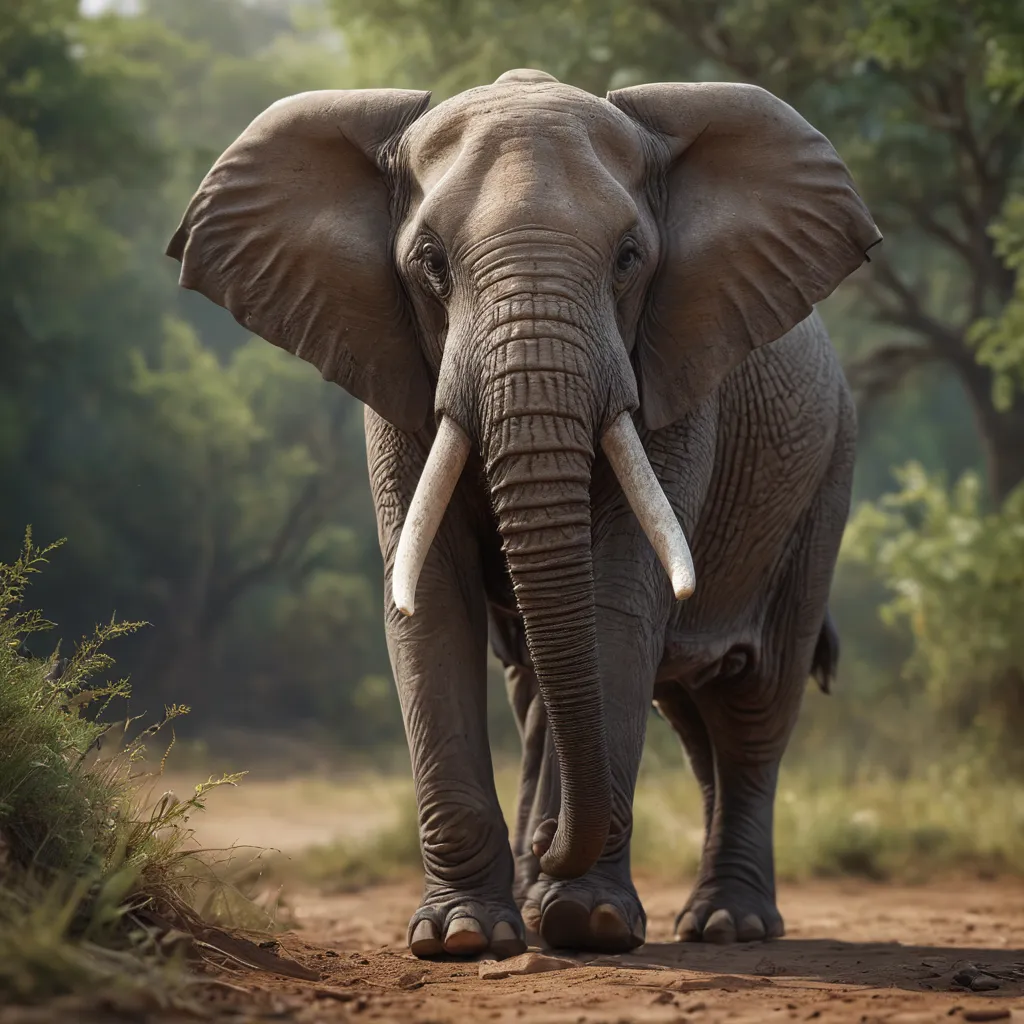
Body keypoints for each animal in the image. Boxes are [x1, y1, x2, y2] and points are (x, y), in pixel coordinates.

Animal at [167, 68, 880, 960]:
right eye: (431, 264)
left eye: (629, 258)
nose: (544, 842)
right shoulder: (397, 373)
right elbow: (431, 601)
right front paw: (465, 936)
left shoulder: (674, 374)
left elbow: (618, 597)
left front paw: (590, 924)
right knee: (634, 709)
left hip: (827, 475)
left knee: (756, 702)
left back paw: (726, 924)